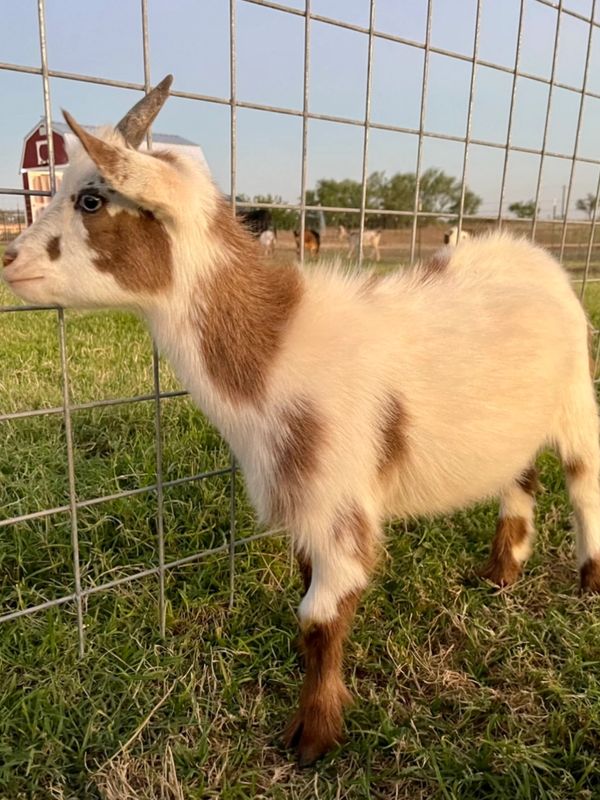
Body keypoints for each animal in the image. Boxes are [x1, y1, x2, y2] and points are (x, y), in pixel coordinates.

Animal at [4, 75, 600, 767]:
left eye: (92, 199)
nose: (10, 257)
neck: (273, 346)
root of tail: (532, 252)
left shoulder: (338, 499)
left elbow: (321, 614)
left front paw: (312, 737)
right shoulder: (302, 494)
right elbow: (307, 587)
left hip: (575, 396)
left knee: (584, 482)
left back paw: (588, 580)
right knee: (521, 477)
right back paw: (501, 574)